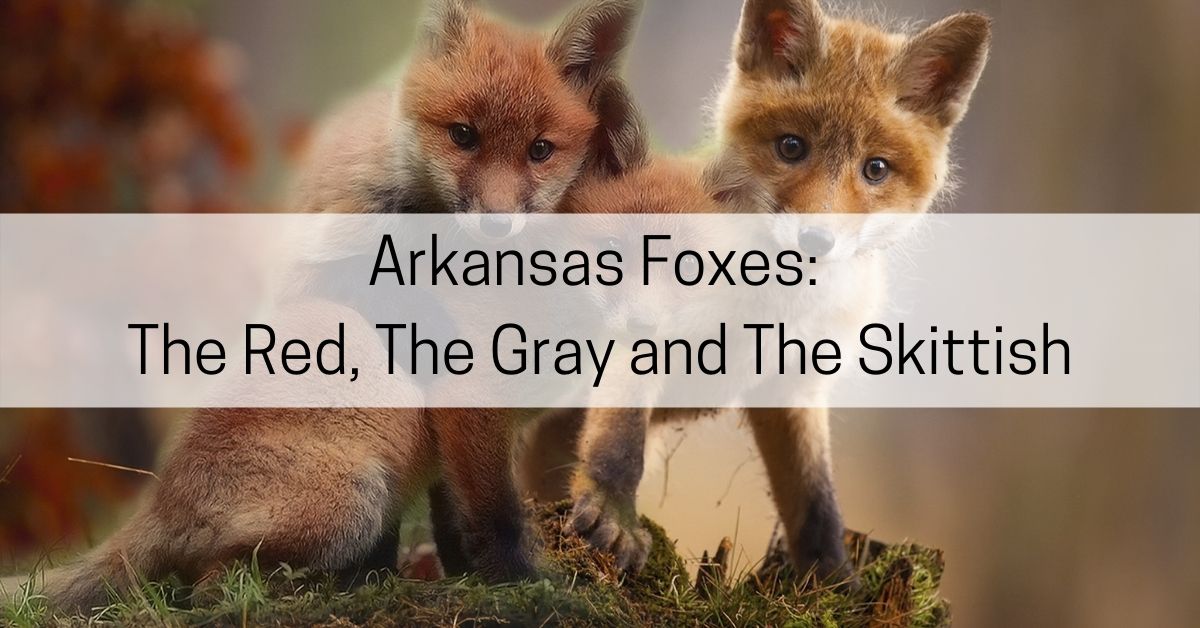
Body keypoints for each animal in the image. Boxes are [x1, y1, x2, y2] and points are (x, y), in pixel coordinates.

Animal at [0, 0, 646, 614]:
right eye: (463, 136)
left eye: (541, 151)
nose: (496, 226)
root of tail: (162, 497)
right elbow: (492, 511)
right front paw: (521, 583)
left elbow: (458, 505)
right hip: (355, 500)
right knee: (209, 587)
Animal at [524, 0, 991, 581]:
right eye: (791, 147)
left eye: (876, 169)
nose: (816, 240)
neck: (771, 308)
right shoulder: (645, 332)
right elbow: (619, 442)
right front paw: (614, 517)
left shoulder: (794, 385)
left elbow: (815, 499)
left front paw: (832, 578)